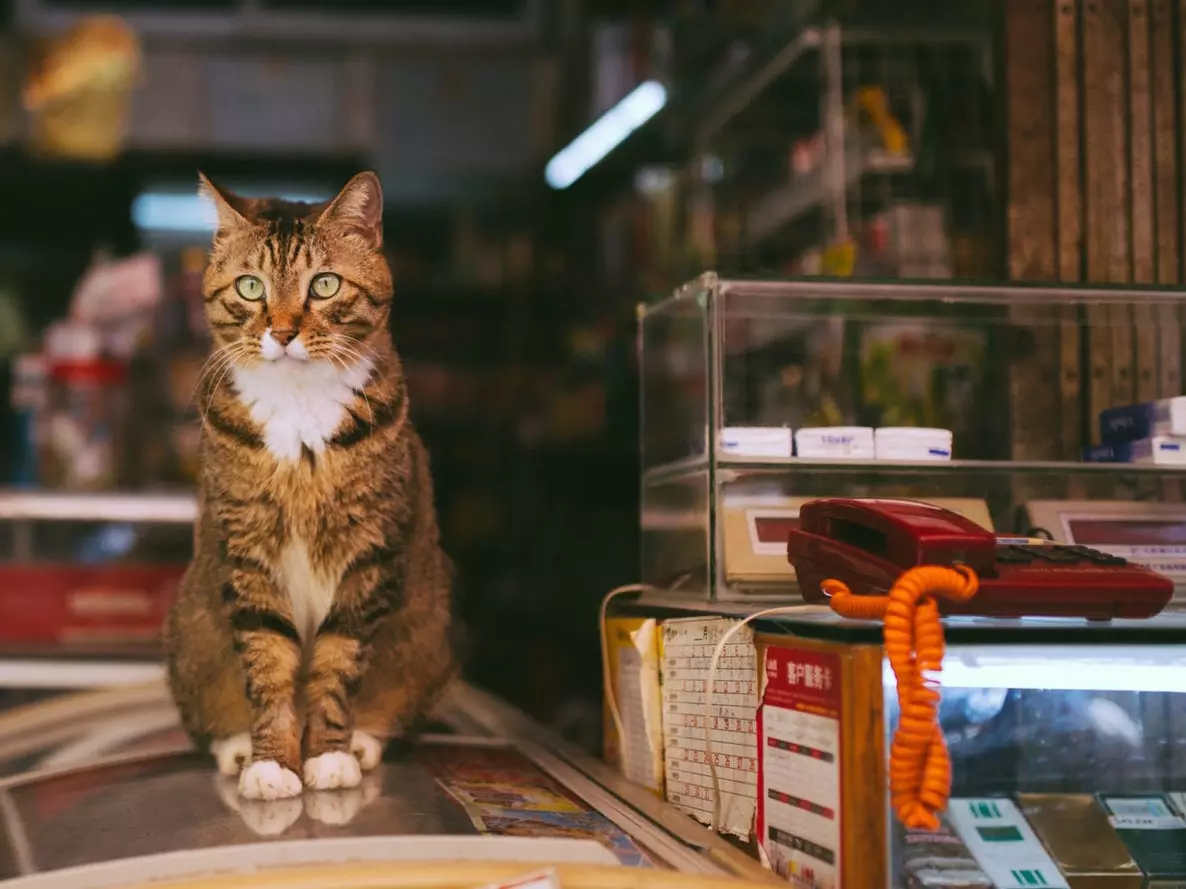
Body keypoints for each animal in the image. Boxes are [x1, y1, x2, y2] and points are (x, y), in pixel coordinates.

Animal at [167, 171, 457, 801]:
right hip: (189, 634)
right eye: (250, 287)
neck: (298, 409)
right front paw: (272, 762)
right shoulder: (248, 552)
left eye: (324, 285)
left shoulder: (368, 553)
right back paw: (235, 747)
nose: (281, 332)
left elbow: (337, 663)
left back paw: (365, 741)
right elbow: (267, 662)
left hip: (430, 632)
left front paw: (328, 754)